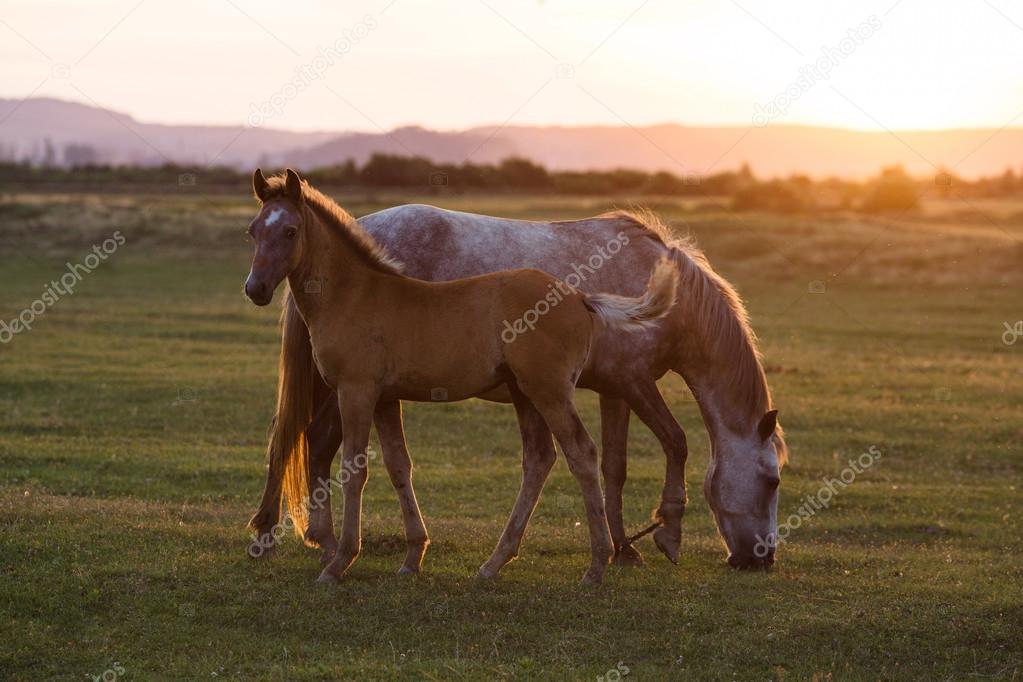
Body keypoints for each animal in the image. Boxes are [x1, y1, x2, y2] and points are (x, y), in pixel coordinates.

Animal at [249, 188, 788, 572]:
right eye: (772, 480)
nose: (761, 560)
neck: (662, 290)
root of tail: (364, 224)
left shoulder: (614, 391)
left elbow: (614, 467)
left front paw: (622, 547)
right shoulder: (633, 382)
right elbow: (675, 442)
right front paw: (666, 532)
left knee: (305, 440)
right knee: (309, 439)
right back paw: (300, 538)